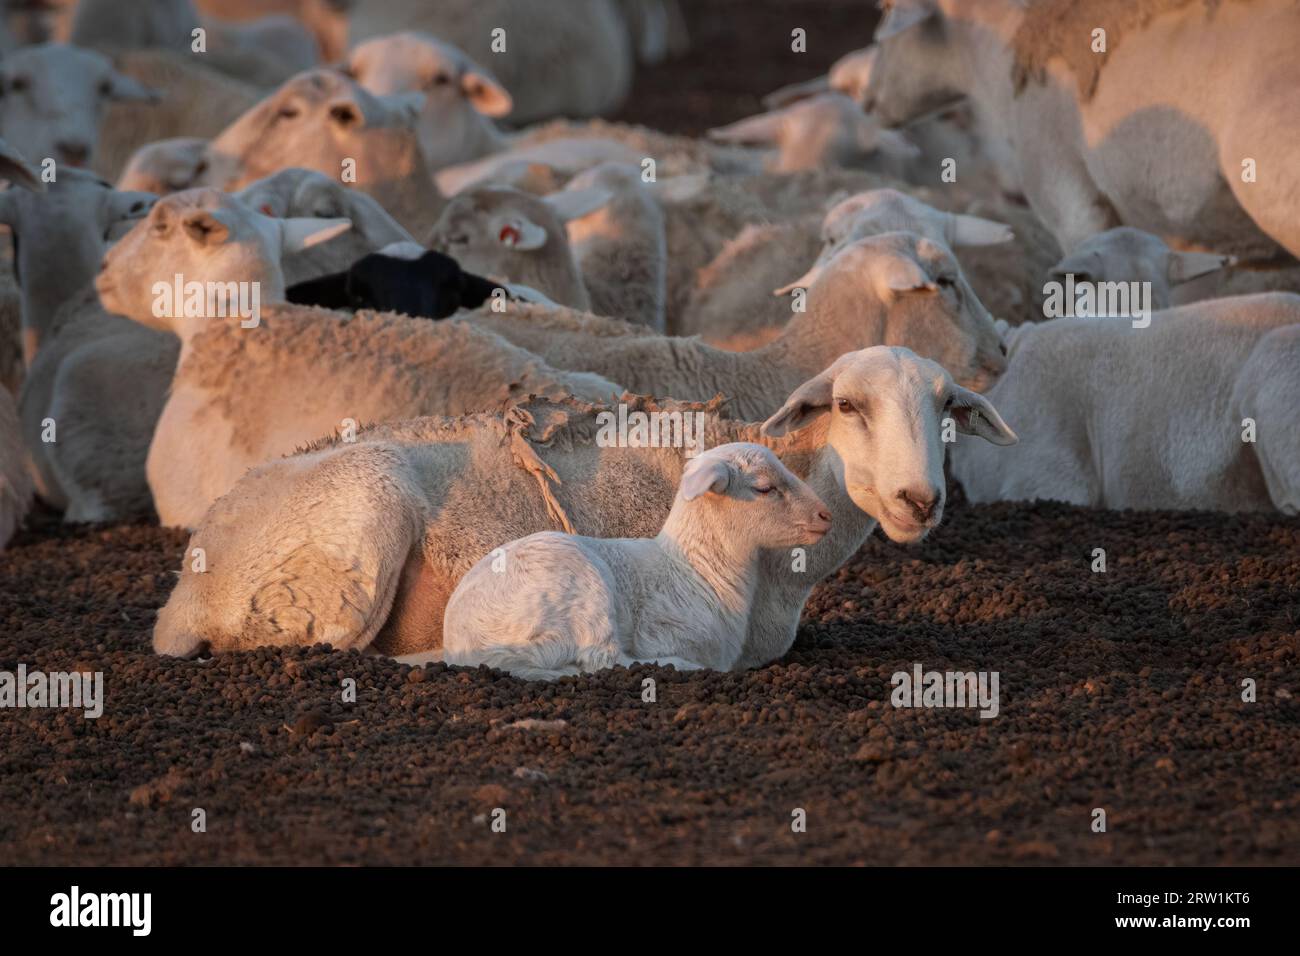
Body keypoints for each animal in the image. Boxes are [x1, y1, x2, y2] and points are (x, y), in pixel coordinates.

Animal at [440, 443, 832, 679]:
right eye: (764, 488)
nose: (825, 515)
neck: (696, 572)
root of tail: (464, 640)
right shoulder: (662, 631)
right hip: (583, 590)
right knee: (603, 660)